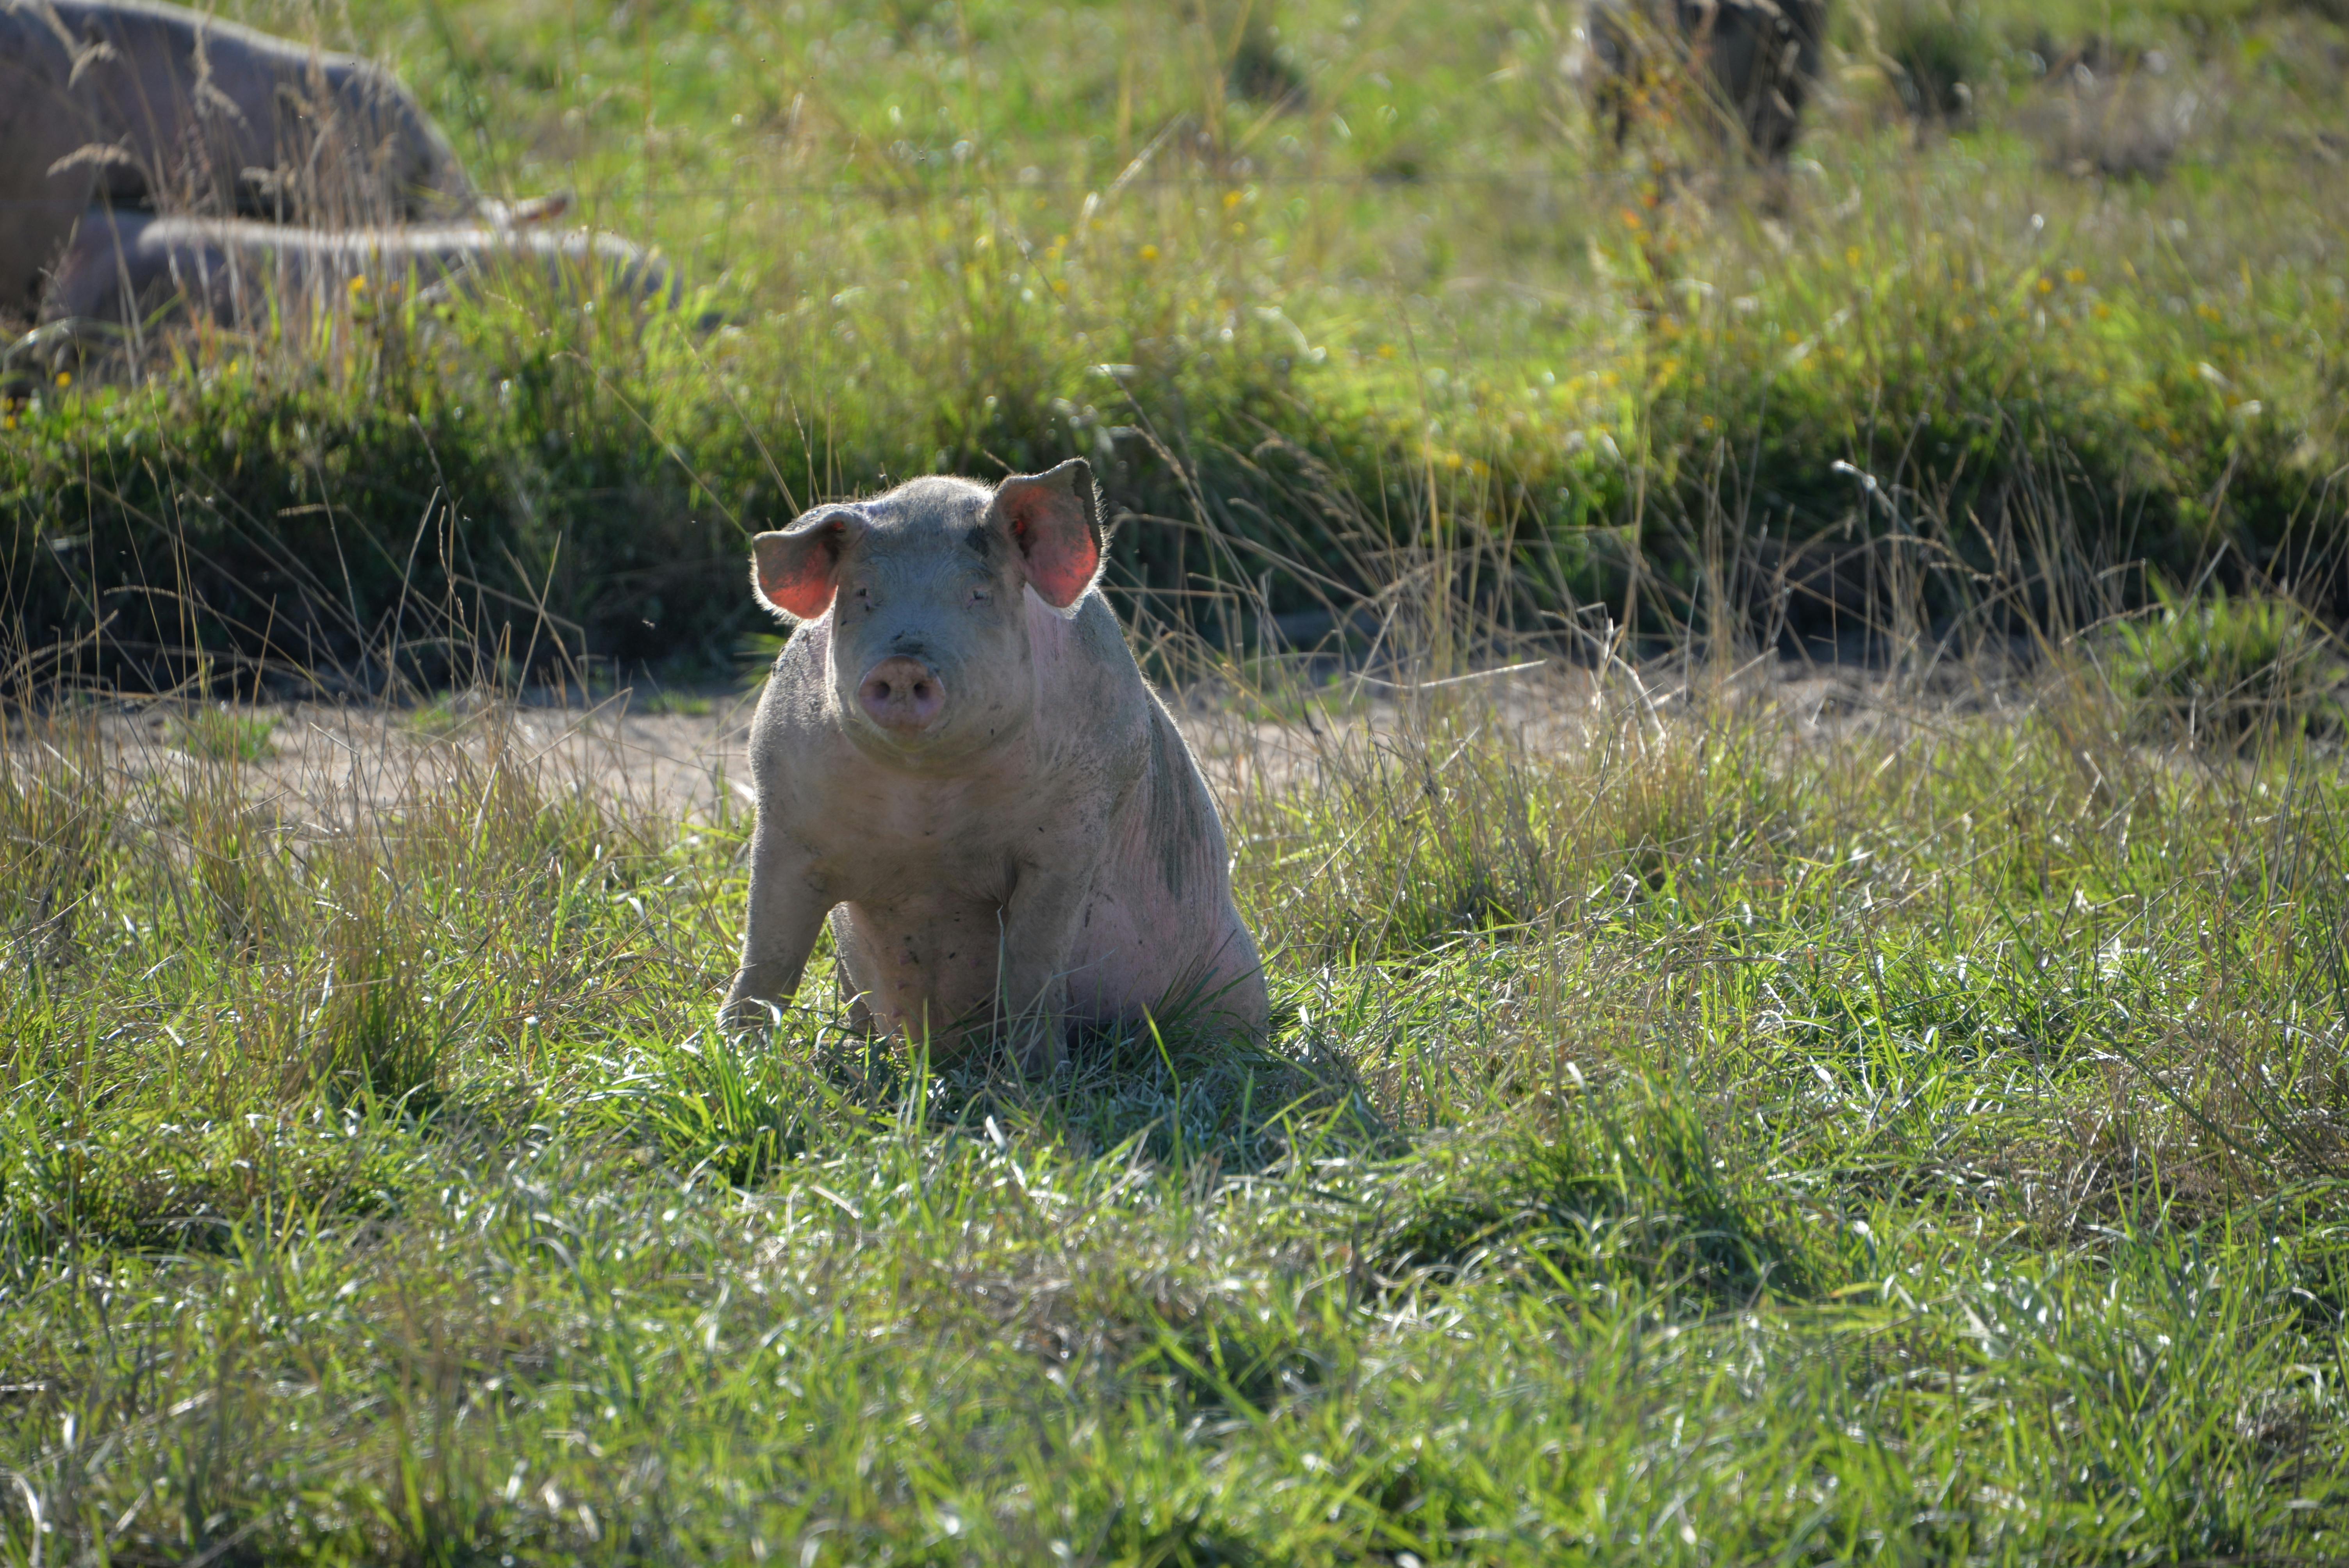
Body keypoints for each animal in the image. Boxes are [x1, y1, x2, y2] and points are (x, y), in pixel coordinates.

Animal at [724, 461, 1270, 1064]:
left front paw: (1034, 1075)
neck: (926, 817)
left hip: (1237, 973)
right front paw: (732, 1053)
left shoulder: (1070, 836)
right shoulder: (782, 820)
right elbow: (767, 955)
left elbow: (1033, 965)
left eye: (977, 593)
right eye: (863, 593)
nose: (901, 664)